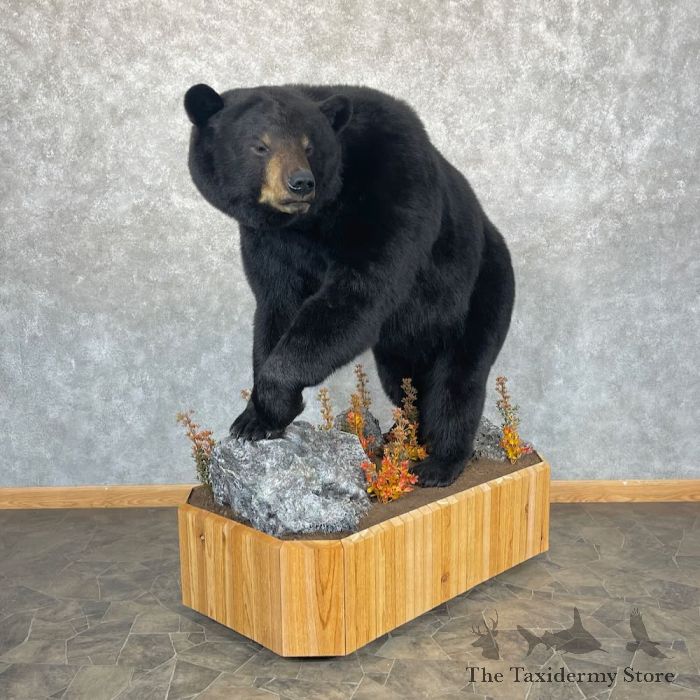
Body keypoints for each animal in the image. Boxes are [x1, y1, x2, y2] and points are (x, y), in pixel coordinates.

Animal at [184, 83, 515, 486]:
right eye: (259, 145)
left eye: (309, 145)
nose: (300, 183)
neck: (310, 221)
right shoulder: (269, 242)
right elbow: (277, 307)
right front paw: (255, 419)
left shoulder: (392, 187)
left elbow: (356, 296)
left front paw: (270, 403)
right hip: (405, 341)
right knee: (404, 379)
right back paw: (405, 435)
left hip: (481, 290)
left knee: (458, 380)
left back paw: (439, 462)